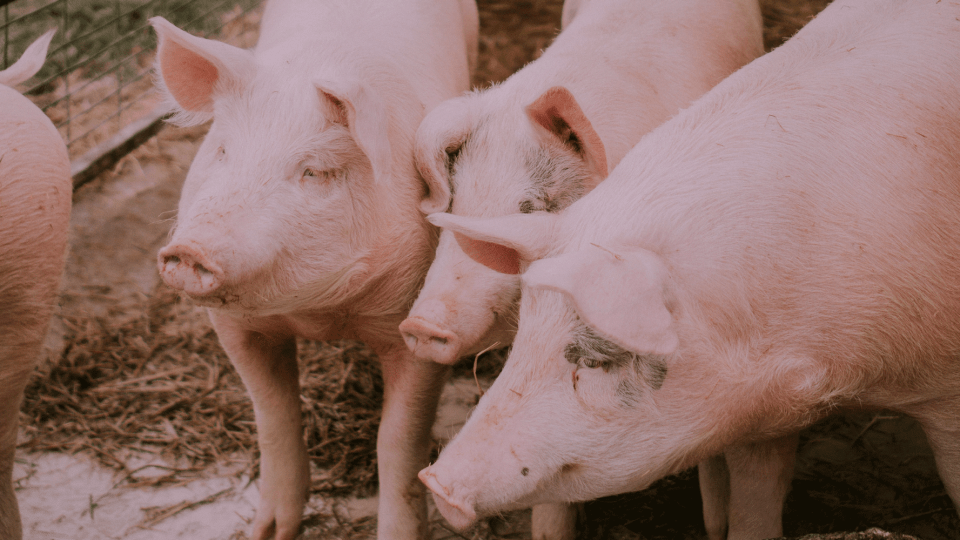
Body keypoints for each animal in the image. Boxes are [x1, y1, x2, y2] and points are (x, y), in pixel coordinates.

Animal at [150, 1, 477, 539]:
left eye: (315, 171)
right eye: (222, 152)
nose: (192, 250)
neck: (321, 314)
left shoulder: (419, 326)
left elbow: (399, 441)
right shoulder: (234, 326)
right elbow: (273, 415)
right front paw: (267, 532)